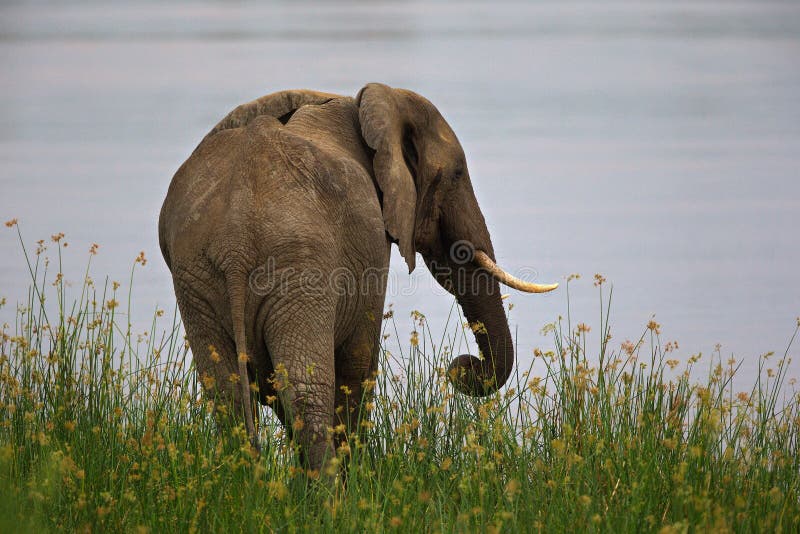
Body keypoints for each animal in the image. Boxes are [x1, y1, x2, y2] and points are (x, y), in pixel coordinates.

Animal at [158, 83, 557, 473]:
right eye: (457, 174)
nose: (462, 367)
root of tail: (234, 243)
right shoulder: (368, 251)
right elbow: (359, 364)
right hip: (299, 268)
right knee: (305, 387)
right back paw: (325, 491)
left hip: (198, 278)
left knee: (225, 390)